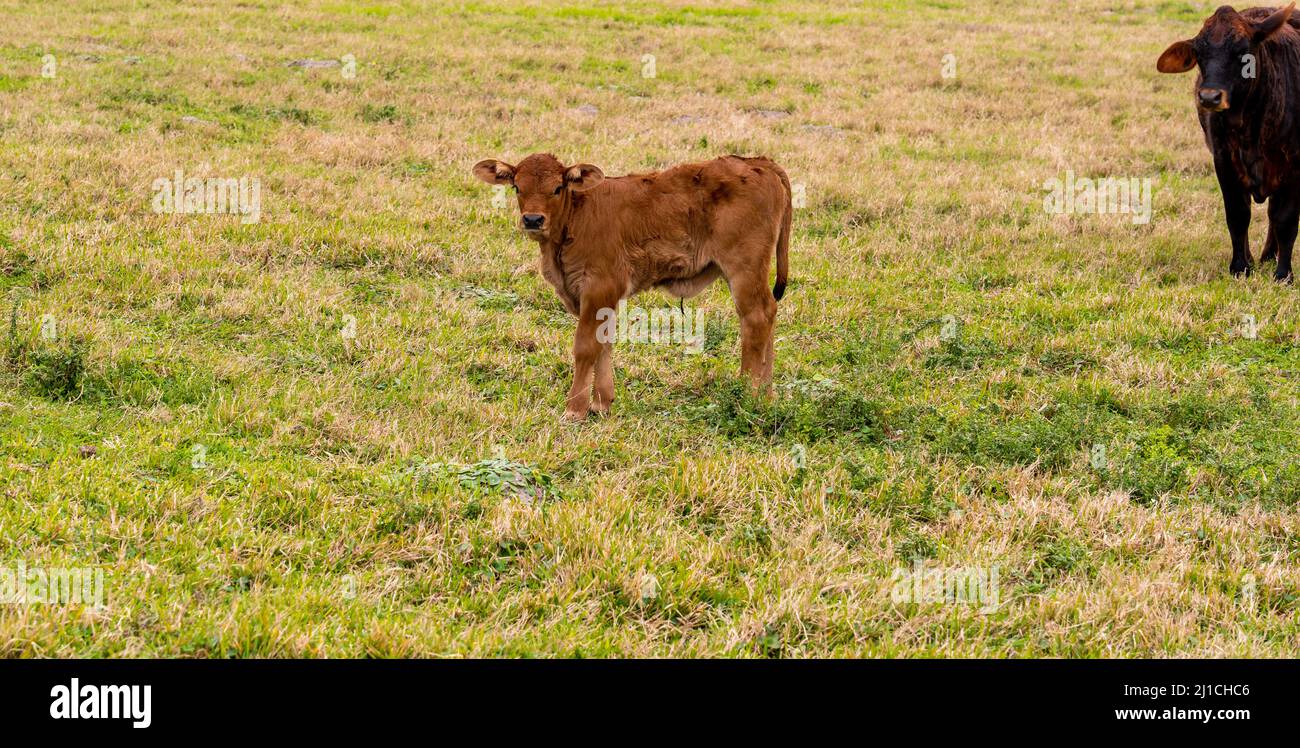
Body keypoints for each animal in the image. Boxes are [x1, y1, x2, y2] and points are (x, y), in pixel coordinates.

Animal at [473, 153, 792, 421]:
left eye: (558, 188)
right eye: (517, 187)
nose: (532, 219)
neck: (576, 217)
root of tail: (758, 162)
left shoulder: (598, 288)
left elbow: (586, 347)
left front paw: (574, 409)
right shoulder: (603, 298)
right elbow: (604, 343)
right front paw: (601, 404)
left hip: (744, 268)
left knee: (756, 318)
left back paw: (748, 395)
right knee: (769, 315)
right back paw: (767, 396)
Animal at [1158, 4, 1300, 281]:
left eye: (1242, 52)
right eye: (1199, 54)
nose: (1209, 97)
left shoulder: (1294, 167)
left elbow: (1285, 220)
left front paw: (1283, 274)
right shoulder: (1224, 162)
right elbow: (1237, 214)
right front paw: (1240, 266)